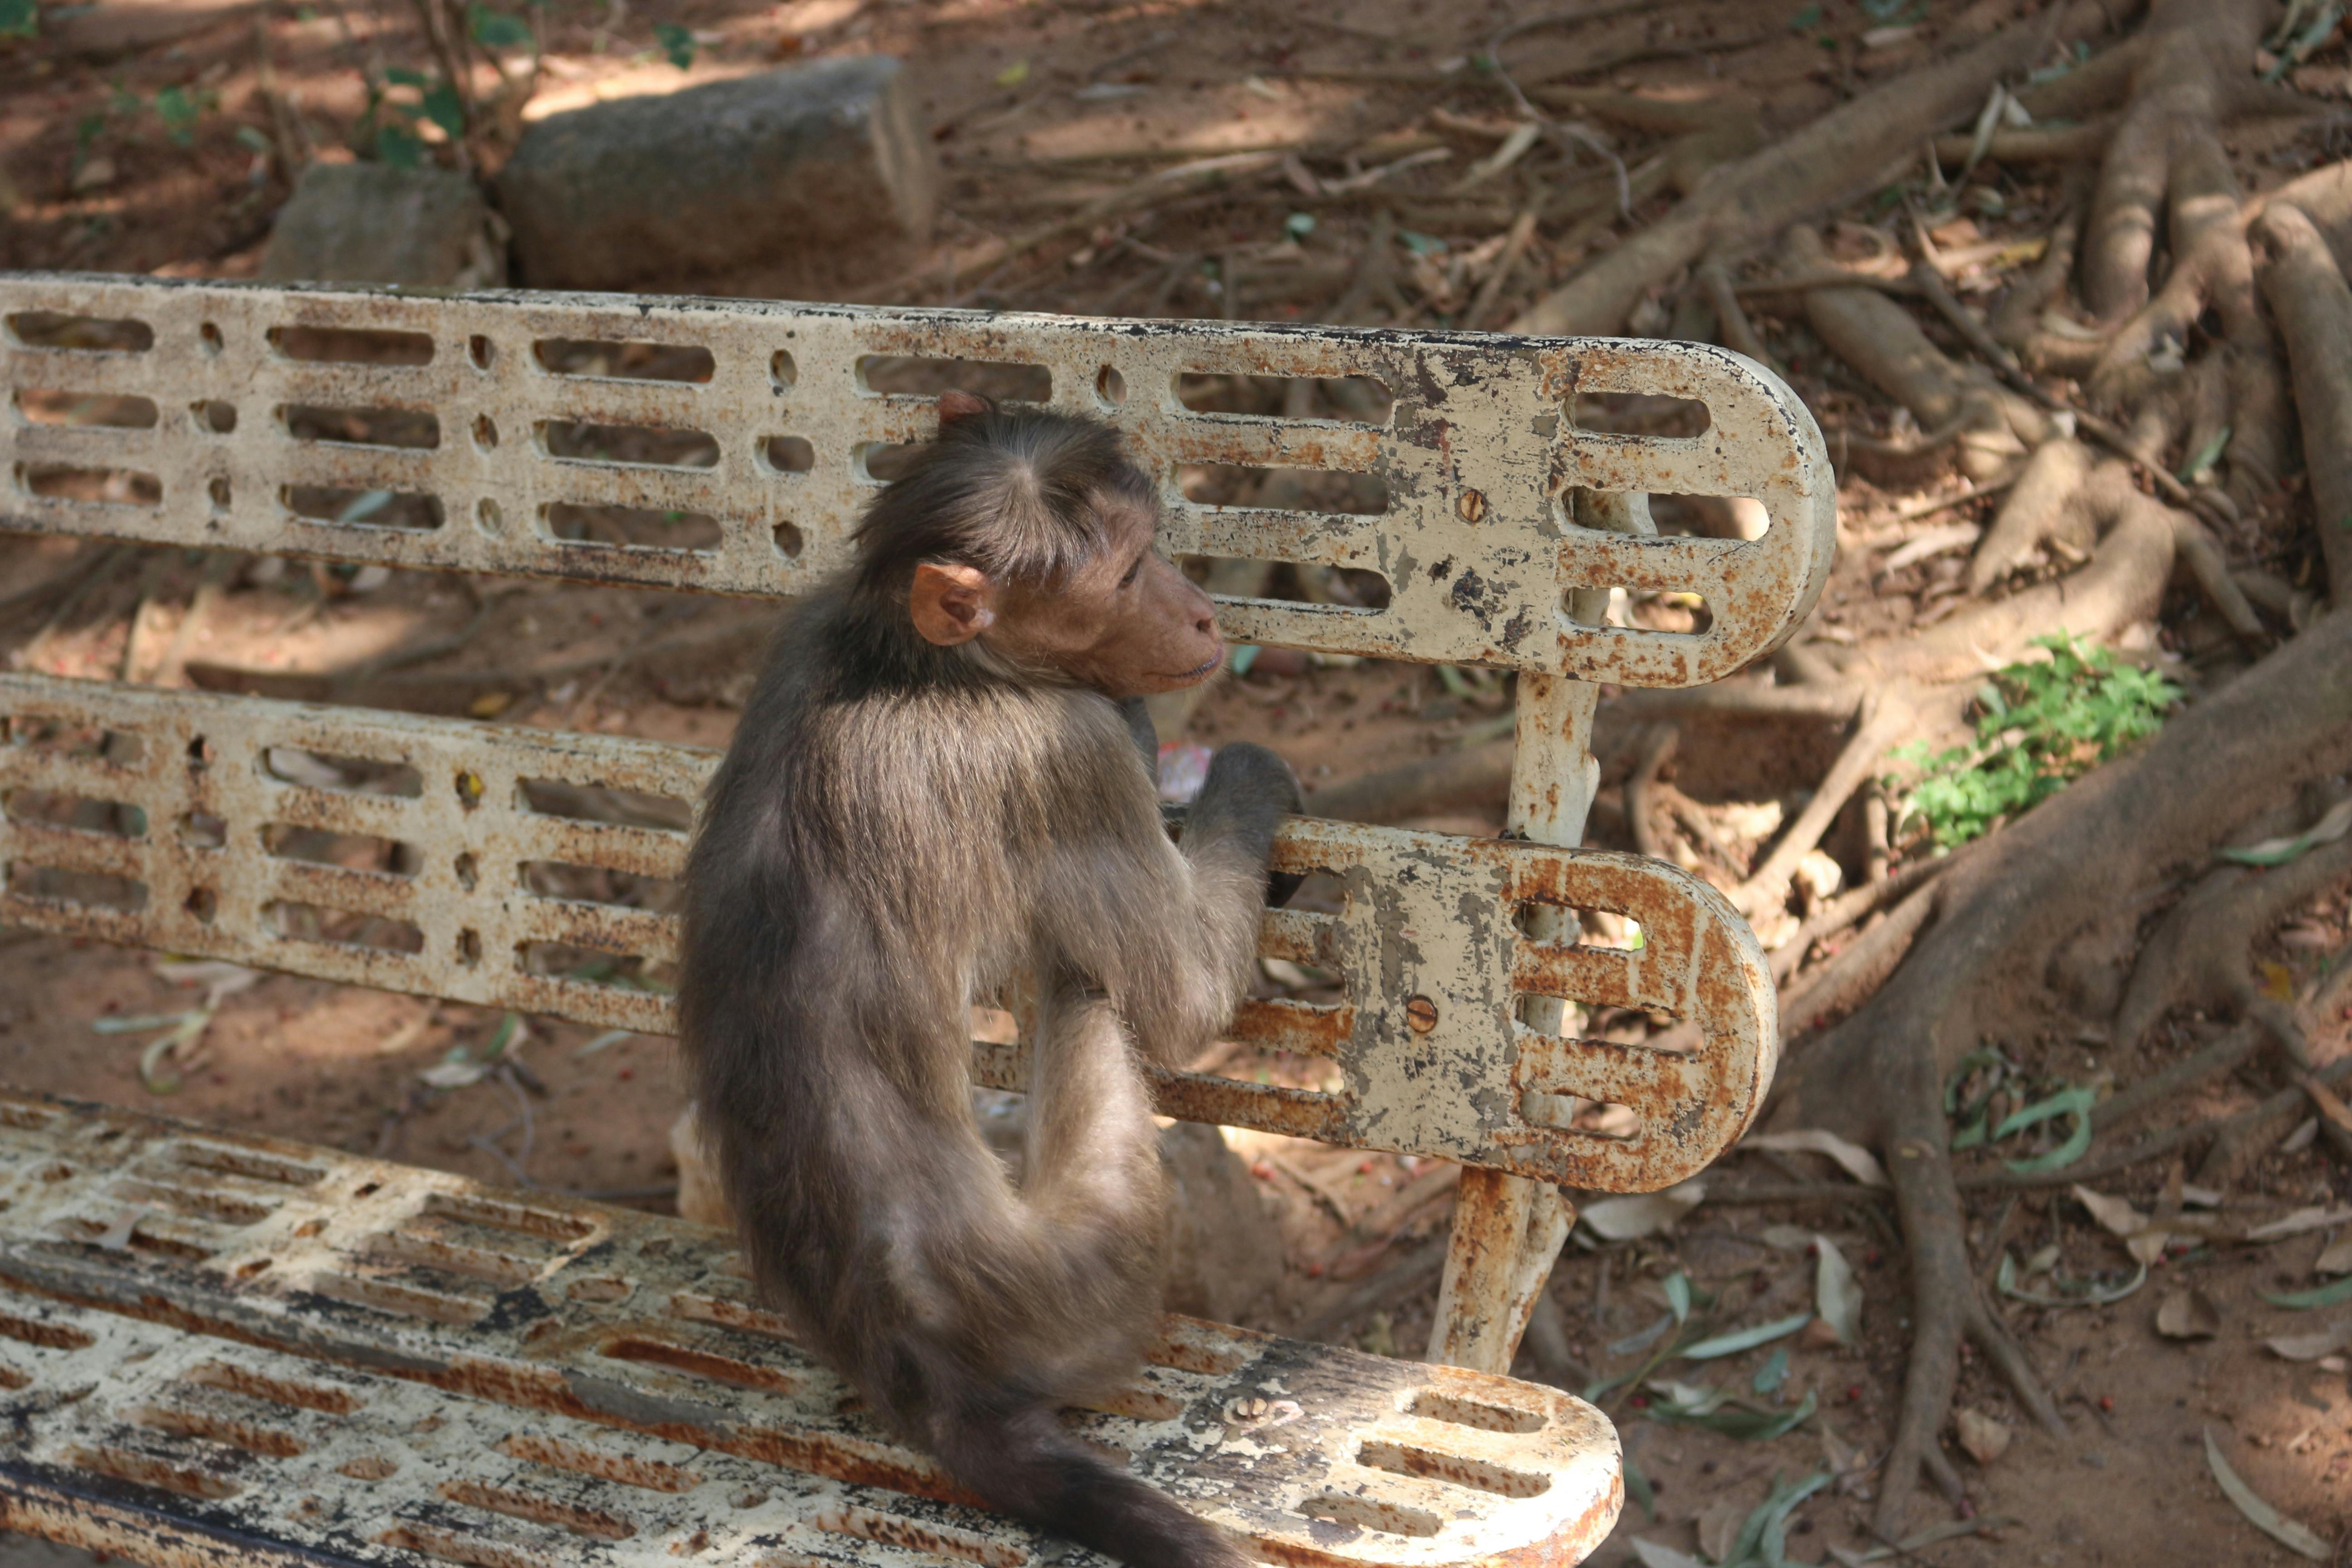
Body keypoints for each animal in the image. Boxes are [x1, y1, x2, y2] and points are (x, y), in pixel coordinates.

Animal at [677, 389, 1299, 1568]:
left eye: (1154, 550)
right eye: (1126, 575)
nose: (1203, 617)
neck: (923, 663)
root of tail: (925, 1381)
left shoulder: (800, 632)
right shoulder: (1060, 750)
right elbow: (1181, 1000)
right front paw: (1235, 775)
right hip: (1089, 1279)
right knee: (1088, 987)